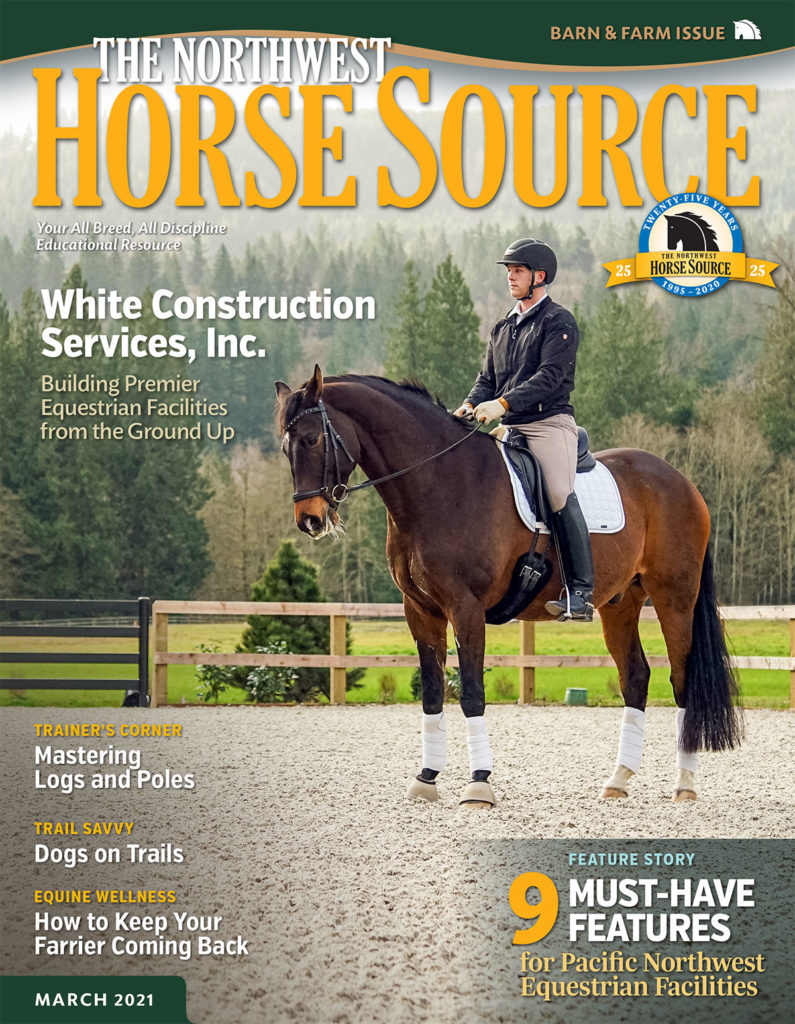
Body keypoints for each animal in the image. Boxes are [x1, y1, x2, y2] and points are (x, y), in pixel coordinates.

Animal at [276, 368, 742, 808]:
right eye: (285, 447)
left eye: (314, 438)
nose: (309, 520)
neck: (439, 482)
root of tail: (682, 482)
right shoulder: (421, 610)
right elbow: (432, 695)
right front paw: (426, 779)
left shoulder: (465, 608)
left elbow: (472, 695)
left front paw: (479, 785)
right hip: (620, 603)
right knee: (635, 677)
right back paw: (618, 781)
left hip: (674, 598)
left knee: (682, 680)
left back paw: (684, 785)